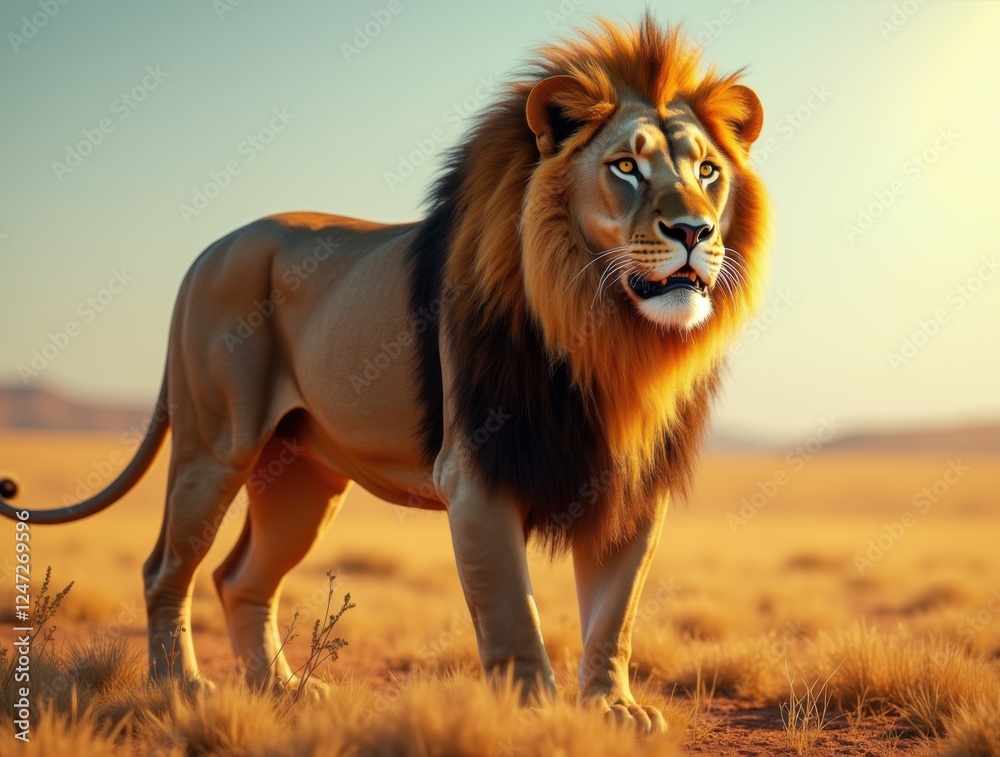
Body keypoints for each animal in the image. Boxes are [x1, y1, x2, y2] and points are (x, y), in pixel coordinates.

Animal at [0, 16, 768, 733]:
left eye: (707, 172)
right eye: (626, 167)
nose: (694, 232)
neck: (612, 338)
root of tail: (209, 250)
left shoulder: (630, 487)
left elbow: (615, 616)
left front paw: (614, 708)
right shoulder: (476, 473)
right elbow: (511, 613)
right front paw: (532, 710)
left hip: (303, 476)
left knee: (239, 577)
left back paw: (282, 690)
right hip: (213, 444)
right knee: (166, 568)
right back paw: (181, 687)